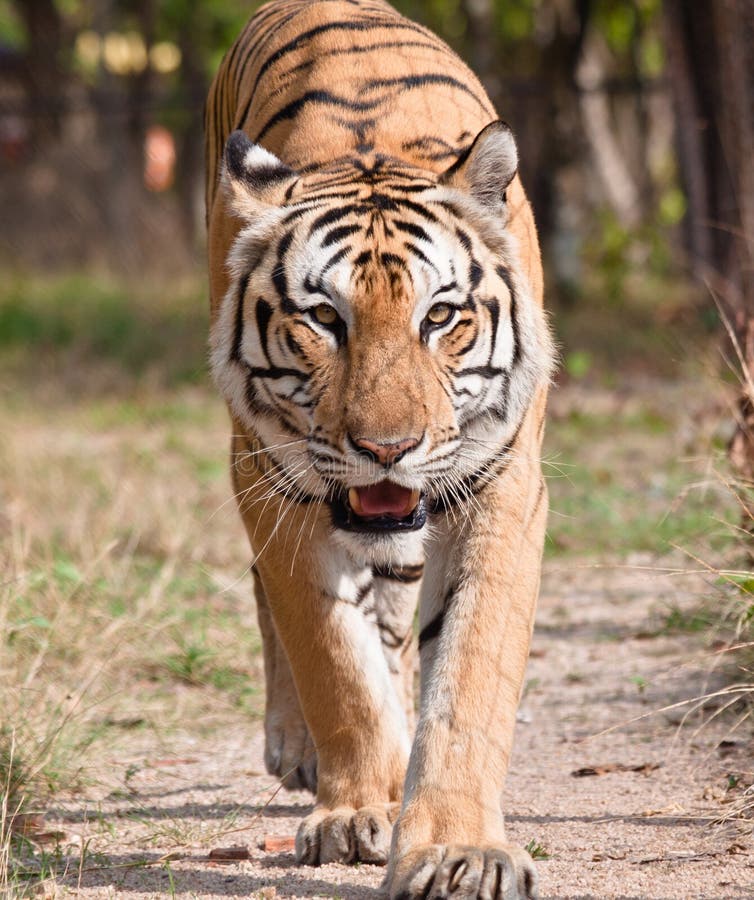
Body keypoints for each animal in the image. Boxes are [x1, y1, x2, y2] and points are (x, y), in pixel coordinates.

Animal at [205, 1, 554, 897]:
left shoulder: (504, 488)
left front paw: (459, 851)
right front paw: (357, 807)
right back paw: (305, 752)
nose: (387, 448)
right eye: (326, 318)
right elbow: (333, 658)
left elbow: (469, 673)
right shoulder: (273, 484)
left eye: (441, 316)